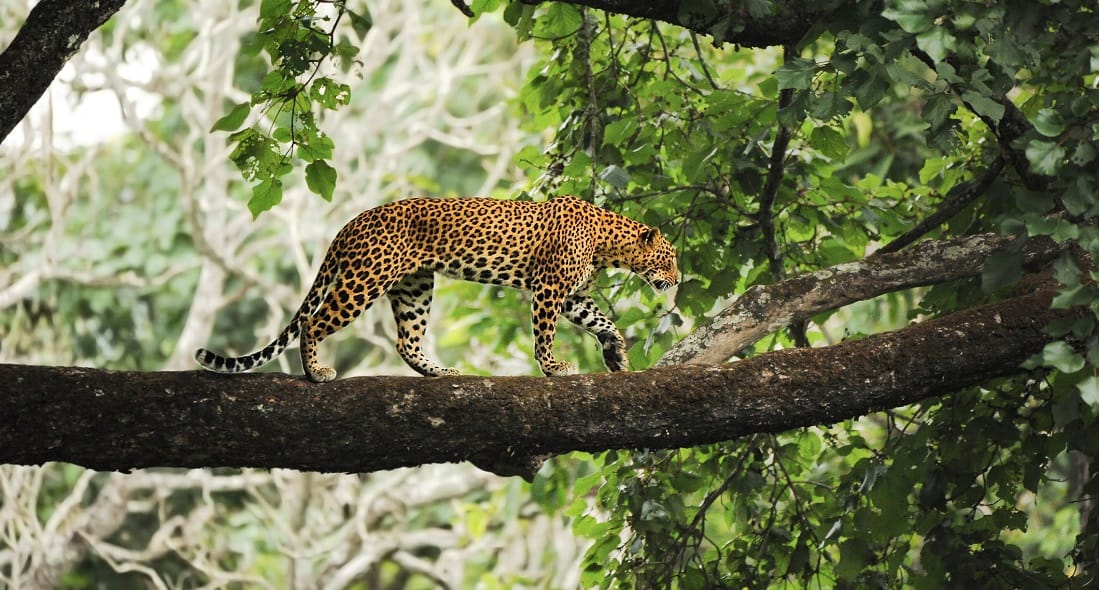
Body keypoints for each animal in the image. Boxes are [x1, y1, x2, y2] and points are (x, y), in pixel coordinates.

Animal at [195, 195, 679, 382]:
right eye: (670, 259)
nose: (676, 282)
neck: (608, 243)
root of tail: (351, 222)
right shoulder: (549, 287)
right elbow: (544, 334)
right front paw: (553, 367)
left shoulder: (573, 294)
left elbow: (604, 322)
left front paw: (616, 357)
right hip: (364, 280)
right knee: (314, 322)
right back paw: (317, 372)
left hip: (415, 288)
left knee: (405, 341)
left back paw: (440, 372)